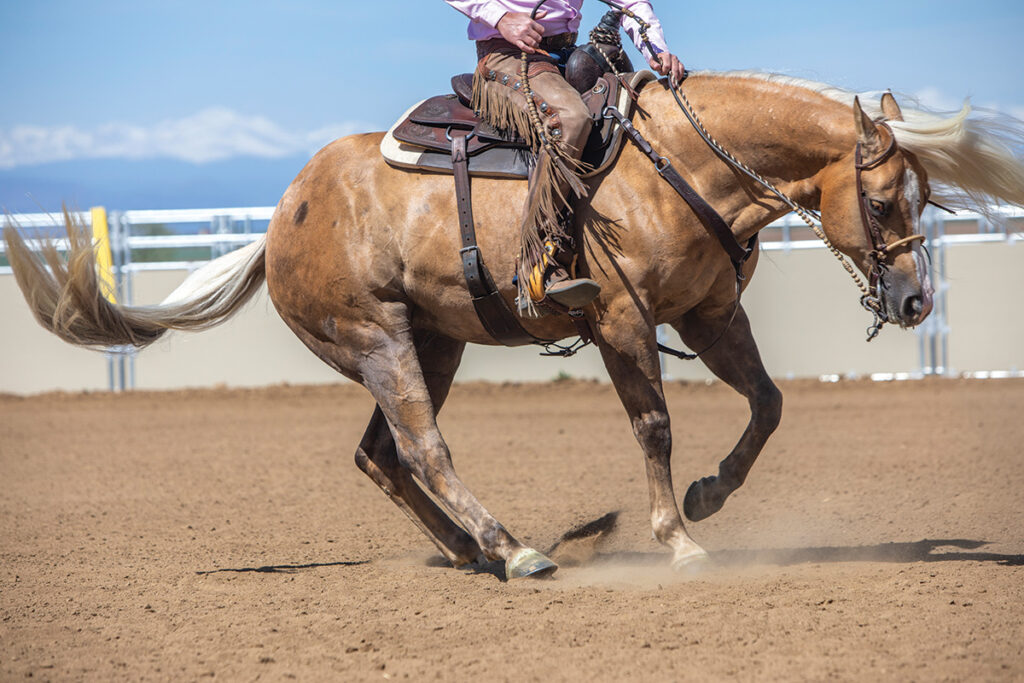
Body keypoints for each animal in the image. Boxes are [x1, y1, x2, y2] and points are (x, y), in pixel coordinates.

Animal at [6, 71, 1024, 579]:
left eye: (927, 198)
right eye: (886, 201)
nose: (916, 302)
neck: (673, 164)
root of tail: (281, 216)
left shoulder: (710, 314)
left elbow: (768, 404)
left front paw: (706, 497)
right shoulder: (622, 320)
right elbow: (654, 423)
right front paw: (677, 537)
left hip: (437, 342)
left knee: (381, 456)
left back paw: (473, 550)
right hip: (378, 341)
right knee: (422, 449)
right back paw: (513, 548)